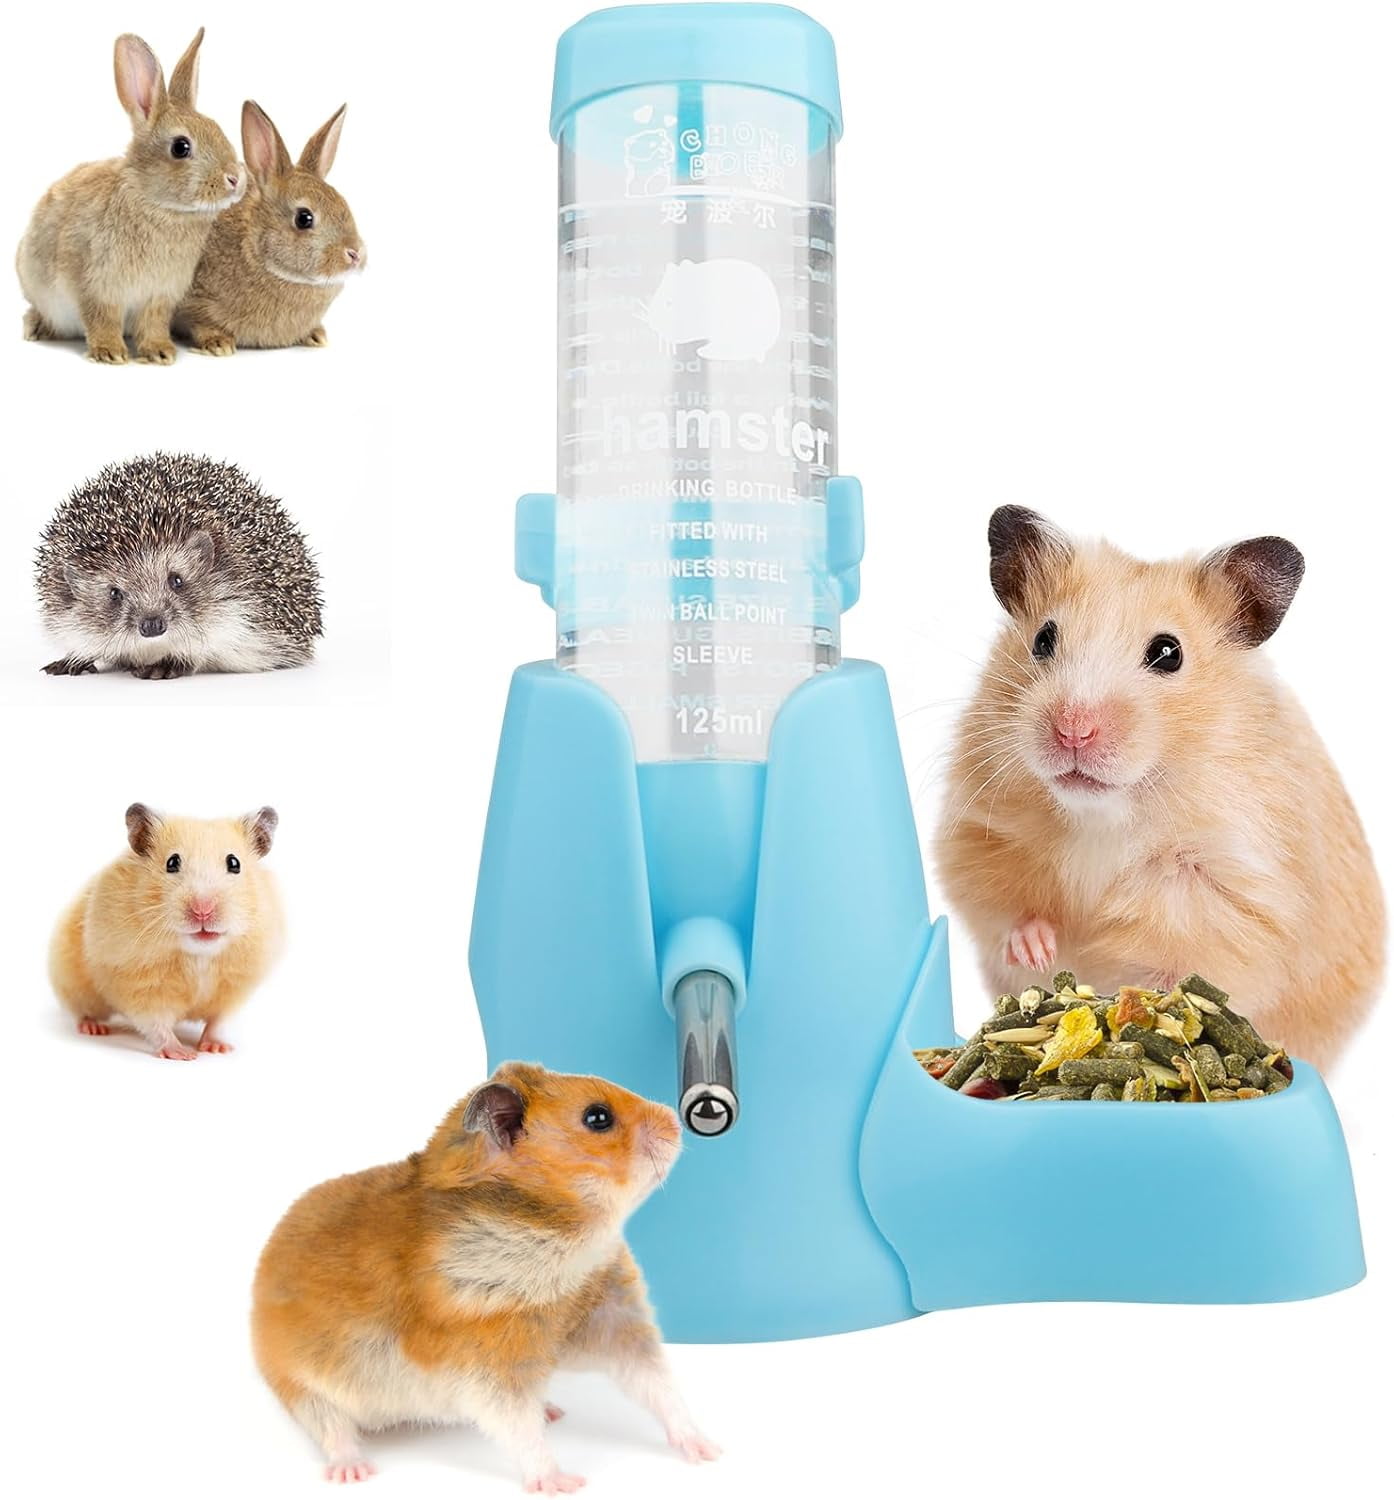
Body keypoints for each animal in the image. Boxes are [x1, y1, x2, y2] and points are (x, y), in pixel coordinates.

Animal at [50, 803, 283, 1059]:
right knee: (81, 1011)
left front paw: (217, 1048)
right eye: (172, 862)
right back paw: (93, 1028)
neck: (199, 955)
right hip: (74, 984)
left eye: (234, 863)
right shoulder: (138, 986)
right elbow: (157, 1024)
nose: (203, 910)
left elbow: (219, 1021)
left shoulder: (234, 989)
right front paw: (184, 1054)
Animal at [252, 1063, 719, 1489]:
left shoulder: (614, 1318)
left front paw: (708, 1450)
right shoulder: (487, 1364)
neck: (563, 1239)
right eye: (597, 1117)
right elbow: (518, 1427)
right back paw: (353, 1472)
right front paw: (561, 1483)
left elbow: (658, 1385)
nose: (676, 1119)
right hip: (300, 1386)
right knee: (332, 1428)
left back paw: (552, 1410)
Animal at [935, 507, 1384, 1071]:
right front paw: (1038, 949)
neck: (1105, 811)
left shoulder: (1227, 889)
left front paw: (1145, 1003)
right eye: (1043, 639)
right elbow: (1003, 906)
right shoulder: (980, 830)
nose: (1072, 731)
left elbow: (1186, 958)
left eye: (1169, 653)